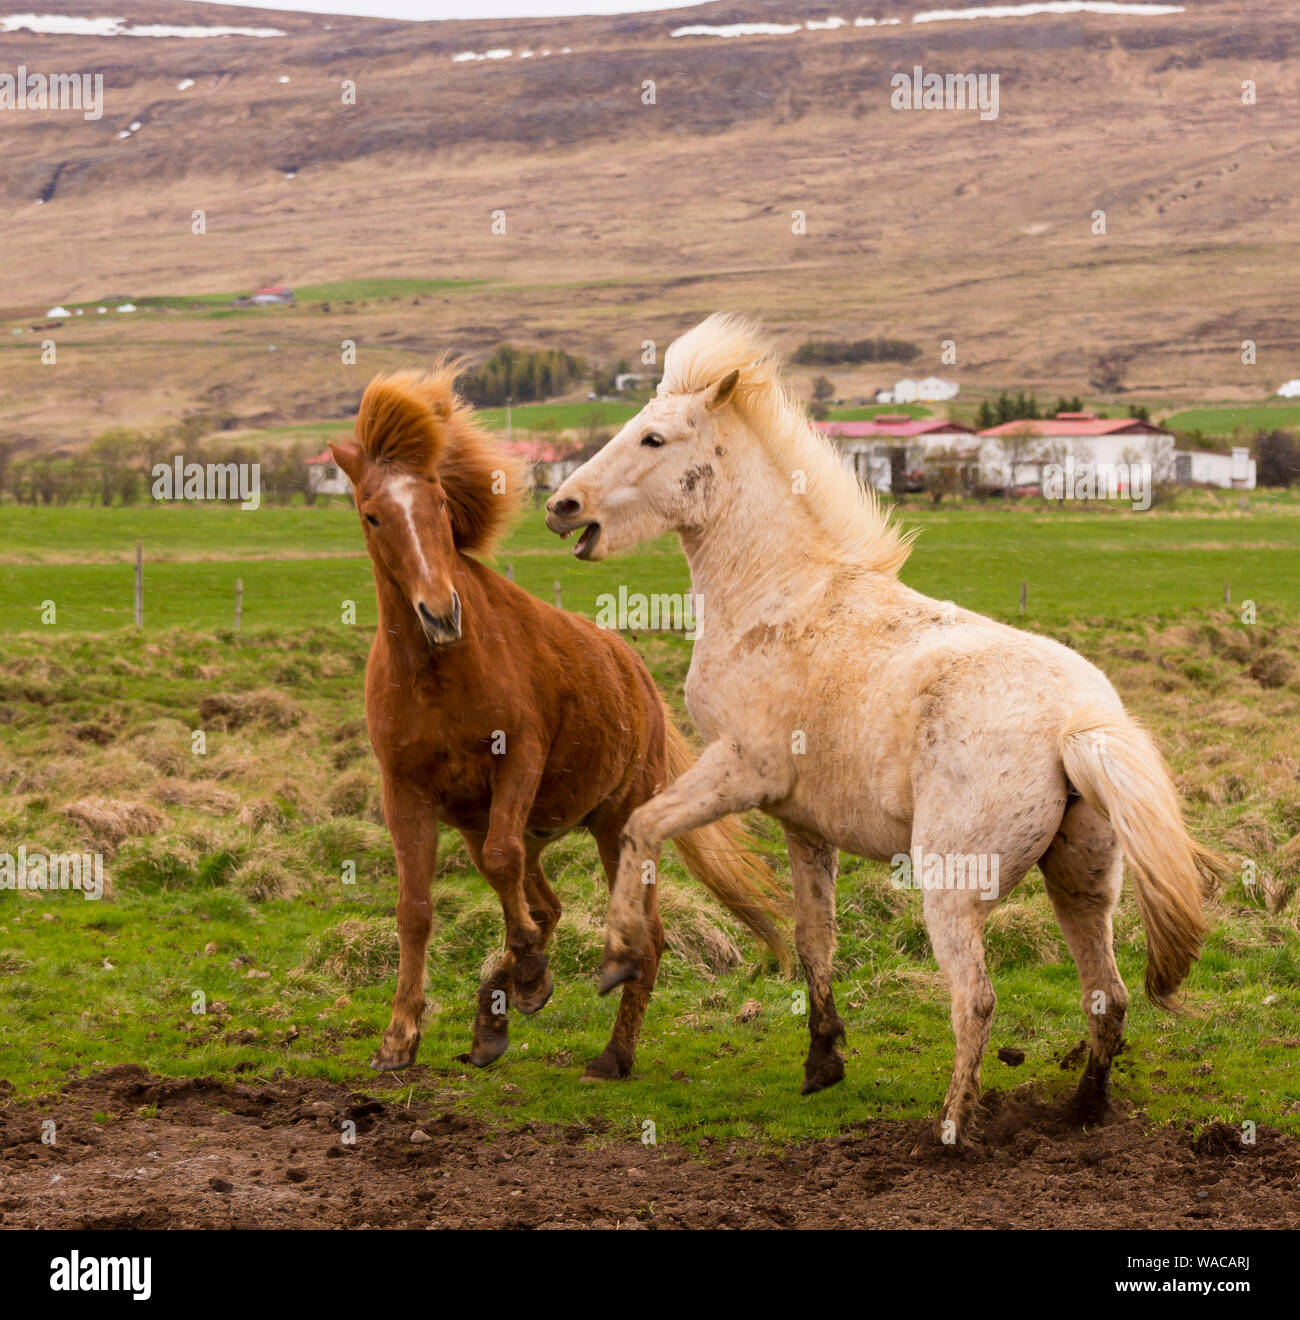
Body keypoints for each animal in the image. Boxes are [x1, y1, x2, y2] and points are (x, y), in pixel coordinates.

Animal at [329, 361, 787, 1081]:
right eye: (372, 515)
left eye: (438, 504)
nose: (440, 613)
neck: (437, 673)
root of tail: (636, 673)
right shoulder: (405, 791)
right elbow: (417, 909)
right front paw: (401, 1036)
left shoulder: (517, 758)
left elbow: (502, 865)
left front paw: (529, 971)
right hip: (521, 822)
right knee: (543, 898)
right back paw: (498, 1012)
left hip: (614, 821)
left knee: (641, 934)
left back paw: (612, 1053)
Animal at [546, 313, 1224, 1148]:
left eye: (654, 438)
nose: (563, 505)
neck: (781, 598)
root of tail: (1077, 723)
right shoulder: (805, 826)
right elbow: (815, 938)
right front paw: (822, 1060)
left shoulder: (738, 771)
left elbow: (642, 827)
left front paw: (616, 959)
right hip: (1081, 886)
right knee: (1109, 995)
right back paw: (1082, 1110)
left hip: (954, 890)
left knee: (977, 1000)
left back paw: (951, 1129)